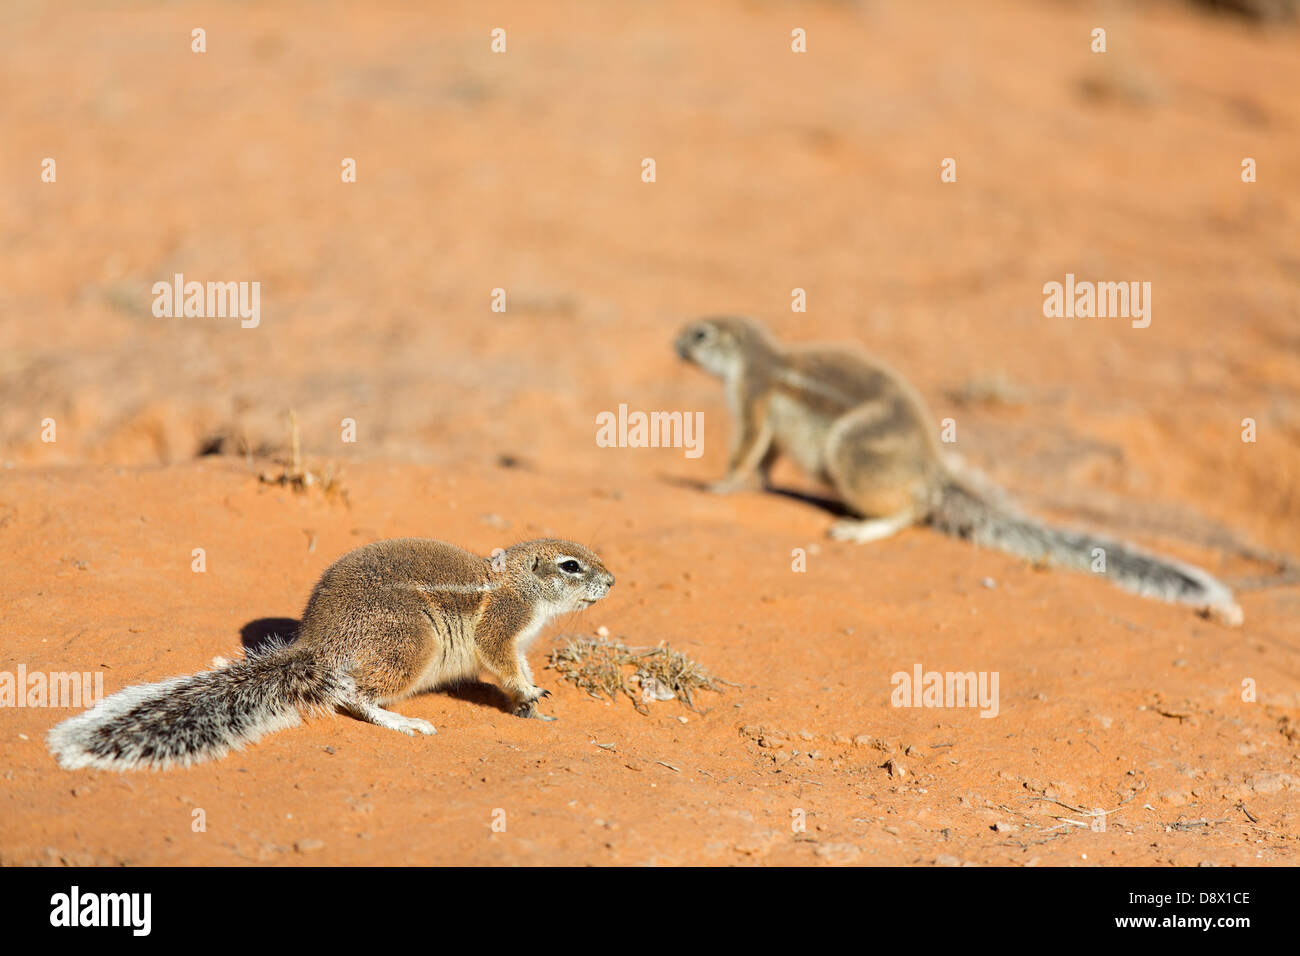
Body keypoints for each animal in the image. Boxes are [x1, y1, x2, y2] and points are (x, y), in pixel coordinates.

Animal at [48, 537, 615, 771]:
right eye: (571, 566)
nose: (612, 581)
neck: (517, 582)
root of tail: (319, 643)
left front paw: (530, 701)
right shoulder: (502, 628)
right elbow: (504, 662)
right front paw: (527, 693)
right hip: (414, 644)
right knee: (353, 693)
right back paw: (401, 722)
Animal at [674, 315, 1242, 626]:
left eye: (700, 334)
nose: (673, 344)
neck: (757, 356)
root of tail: (933, 476)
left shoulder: (752, 395)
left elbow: (746, 448)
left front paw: (717, 484)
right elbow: (767, 457)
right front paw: (763, 482)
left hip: (849, 454)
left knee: (908, 510)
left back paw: (863, 528)